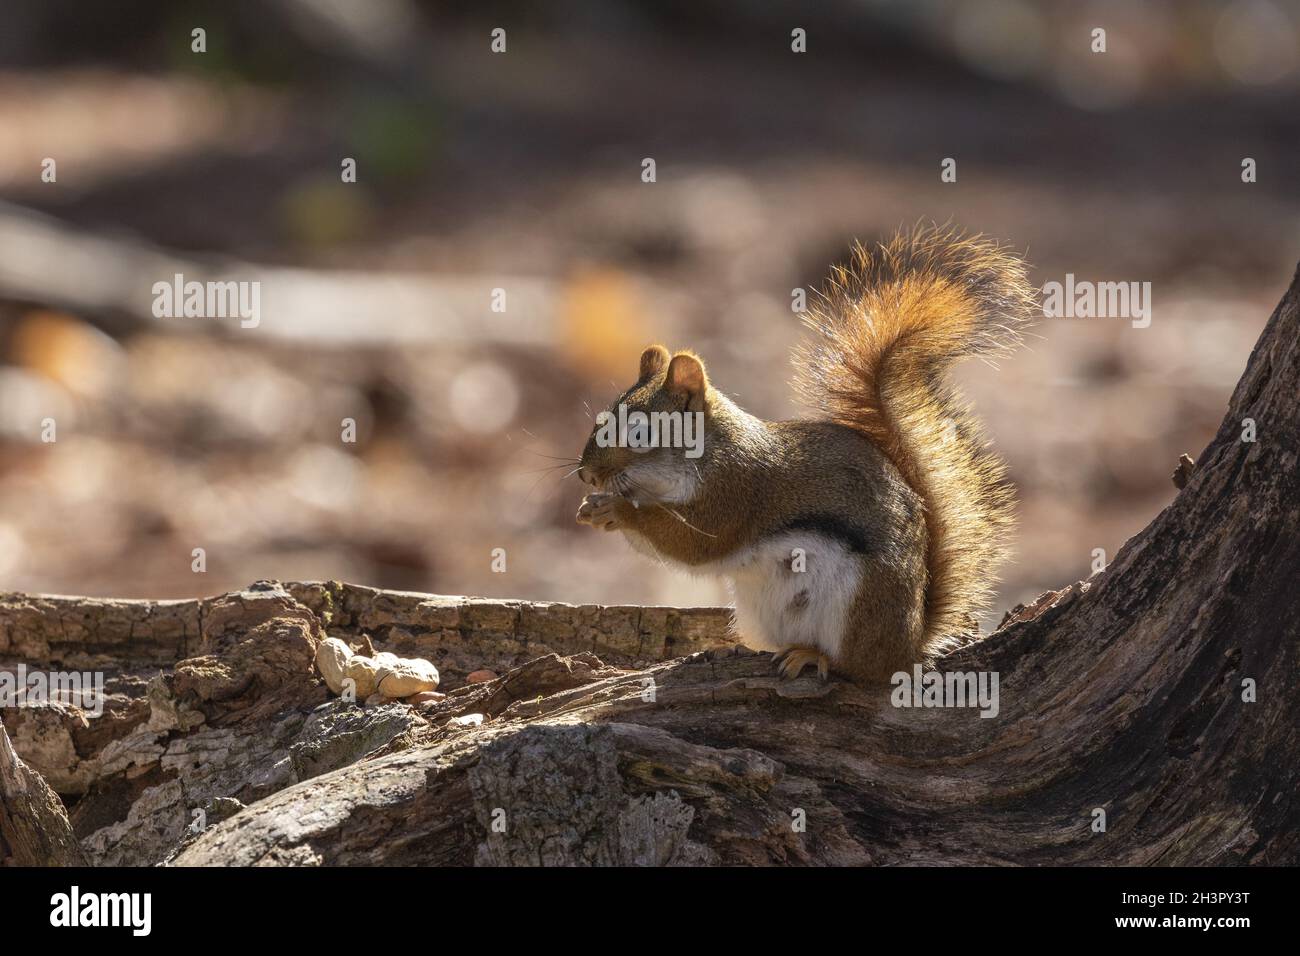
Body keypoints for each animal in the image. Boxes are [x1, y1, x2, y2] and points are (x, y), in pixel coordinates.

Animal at [575, 224, 1037, 683]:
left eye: (640, 432)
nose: (586, 476)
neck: (706, 453)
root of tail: (910, 644)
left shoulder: (736, 490)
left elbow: (692, 541)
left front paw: (617, 509)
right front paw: (592, 508)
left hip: (857, 604)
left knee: (859, 667)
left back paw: (814, 657)